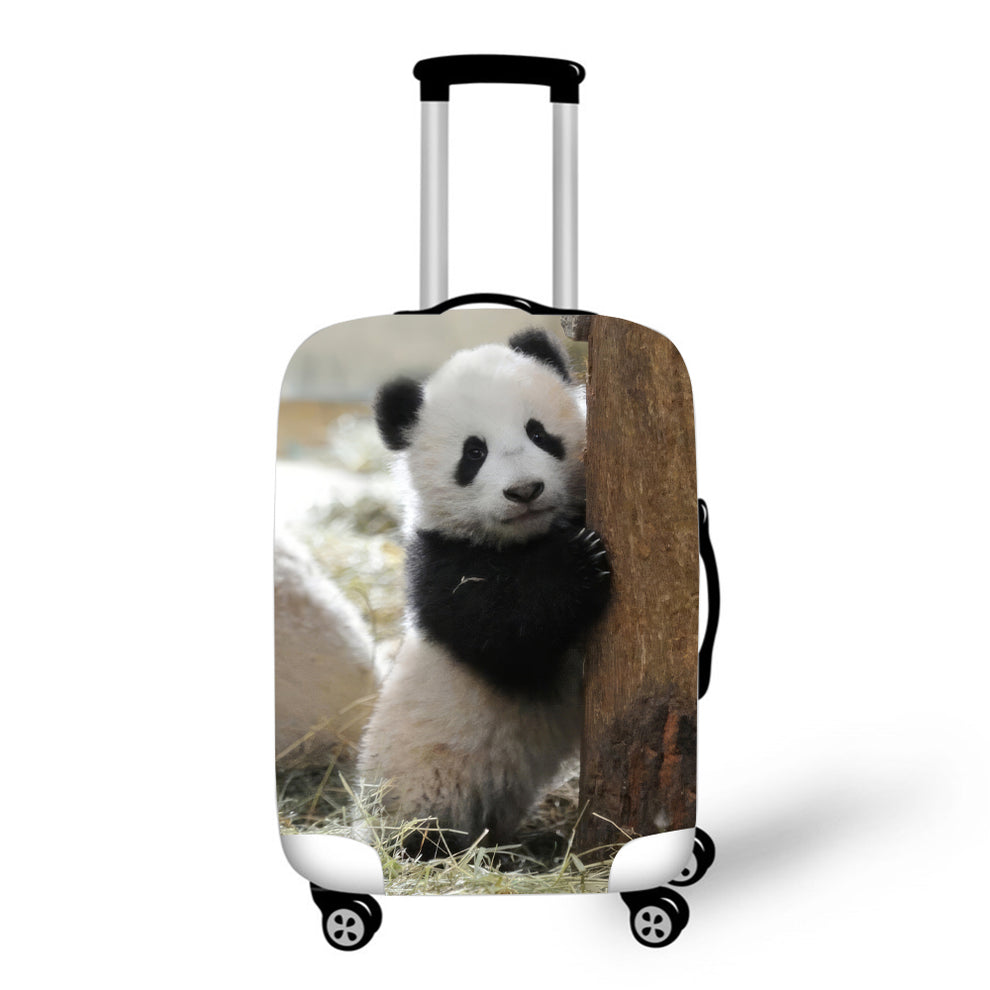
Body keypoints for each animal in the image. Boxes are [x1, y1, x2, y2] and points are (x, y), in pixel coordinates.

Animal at [356, 327, 611, 855]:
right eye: (474, 453)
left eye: (538, 433)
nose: (525, 491)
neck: (524, 539)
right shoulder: (439, 565)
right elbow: (504, 635)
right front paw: (579, 562)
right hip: (423, 780)